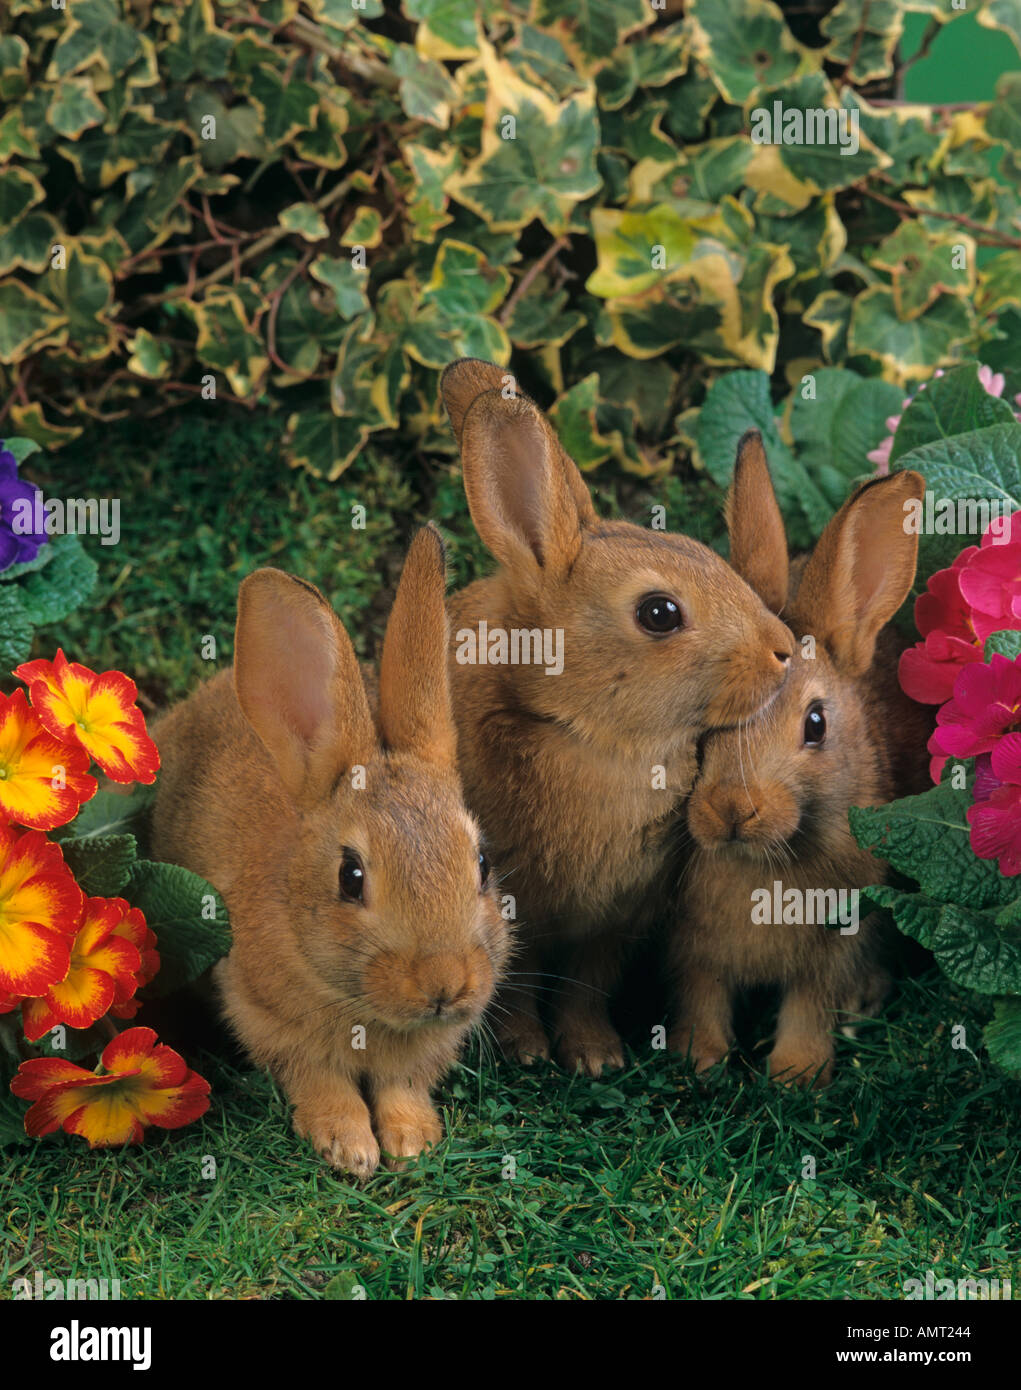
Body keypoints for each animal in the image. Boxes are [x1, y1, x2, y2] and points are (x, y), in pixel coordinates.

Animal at [150, 526, 510, 1176]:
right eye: (351, 876)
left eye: (483, 865)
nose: (446, 984)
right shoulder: (265, 1014)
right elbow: (321, 1082)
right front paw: (348, 1148)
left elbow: (402, 1085)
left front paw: (412, 1141)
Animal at [439, 359, 796, 1075]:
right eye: (659, 613)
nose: (783, 651)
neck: (582, 731)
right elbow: (518, 984)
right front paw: (527, 1052)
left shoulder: (617, 919)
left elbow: (589, 983)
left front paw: (595, 1055)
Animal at [669, 435, 932, 1087]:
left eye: (815, 725)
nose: (731, 810)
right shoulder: (692, 948)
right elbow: (701, 991)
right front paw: (698, 1056)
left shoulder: (842, 938)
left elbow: (812, 1000)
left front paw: (797, 1073)